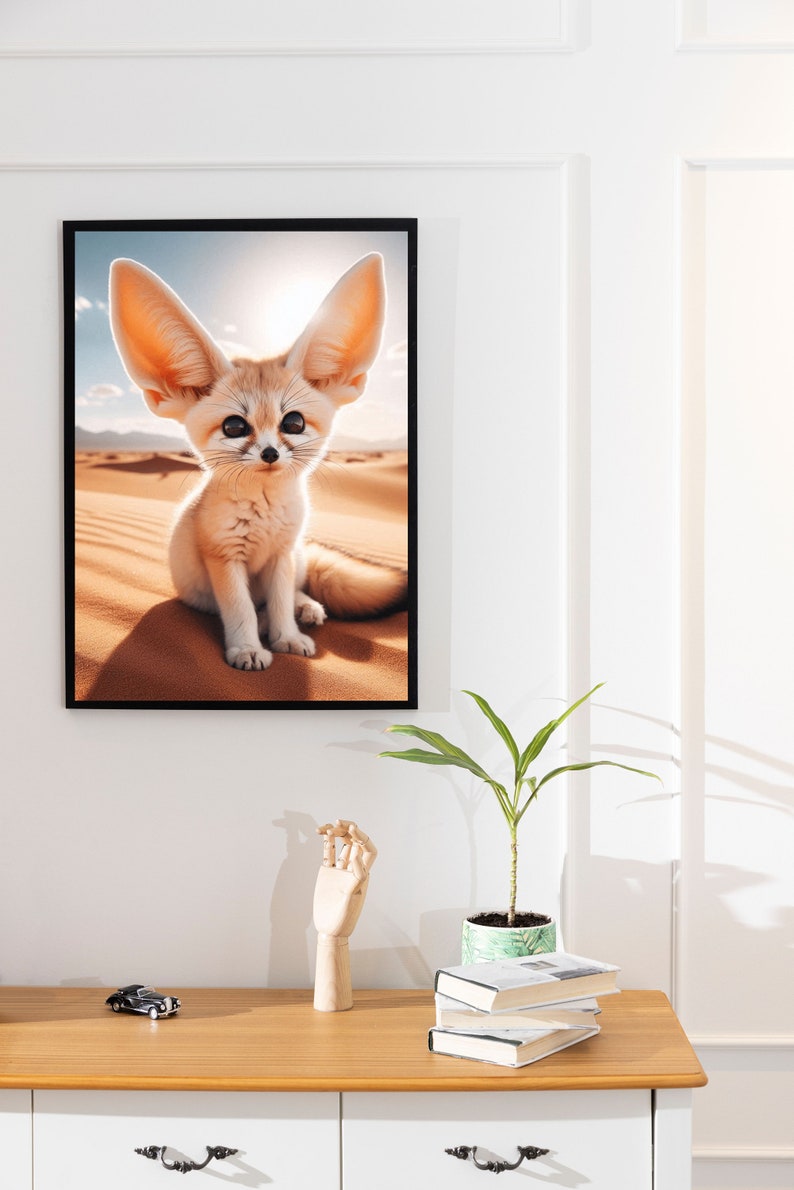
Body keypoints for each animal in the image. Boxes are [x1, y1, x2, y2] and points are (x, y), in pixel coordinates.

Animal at [108, 252, 406, 671]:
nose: (269, 453)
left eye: (293, 422)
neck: (264, 514)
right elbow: (241, 609)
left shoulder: (281, 555)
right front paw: (248, 648)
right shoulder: (224, 558)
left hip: (297, 556)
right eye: (234, 426)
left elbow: (280, 602)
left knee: (294, 593)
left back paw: (307, 609)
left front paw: (287, 638)